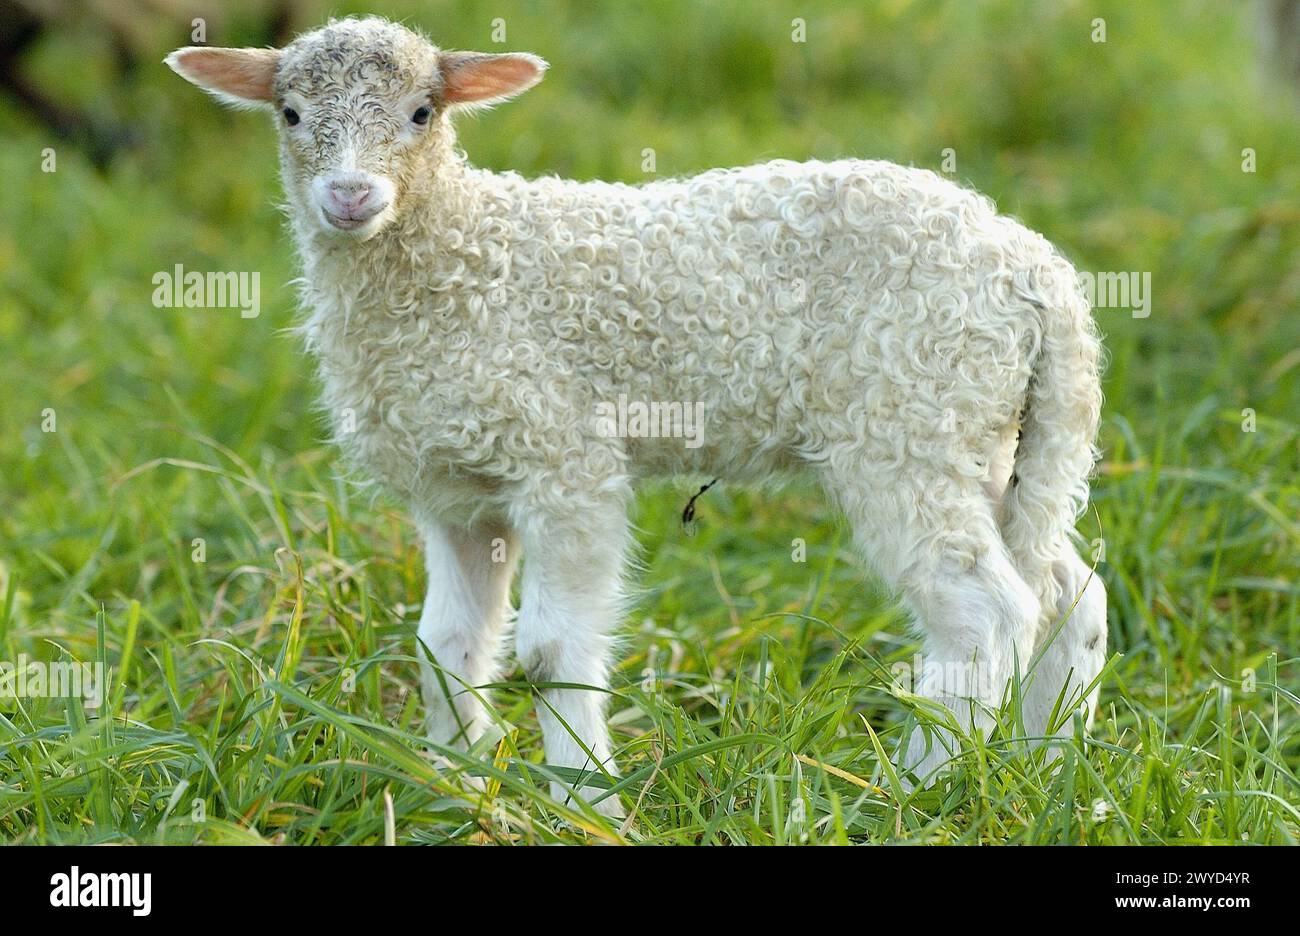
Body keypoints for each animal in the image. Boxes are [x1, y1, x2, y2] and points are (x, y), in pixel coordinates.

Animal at [167, 16, 1106, 817]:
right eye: (291, 114)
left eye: (421, 113)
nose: (351, 196)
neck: (458, 252)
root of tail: (1037, 272)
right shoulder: (457, 491)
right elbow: (447, 648)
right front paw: (449, 793)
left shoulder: (563, 458)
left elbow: (550, 653)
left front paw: (586, 804)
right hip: (995, 434)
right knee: (1065, 588)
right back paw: (1046, 769)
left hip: (907, 421)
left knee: (985, 609)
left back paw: (911, 791)